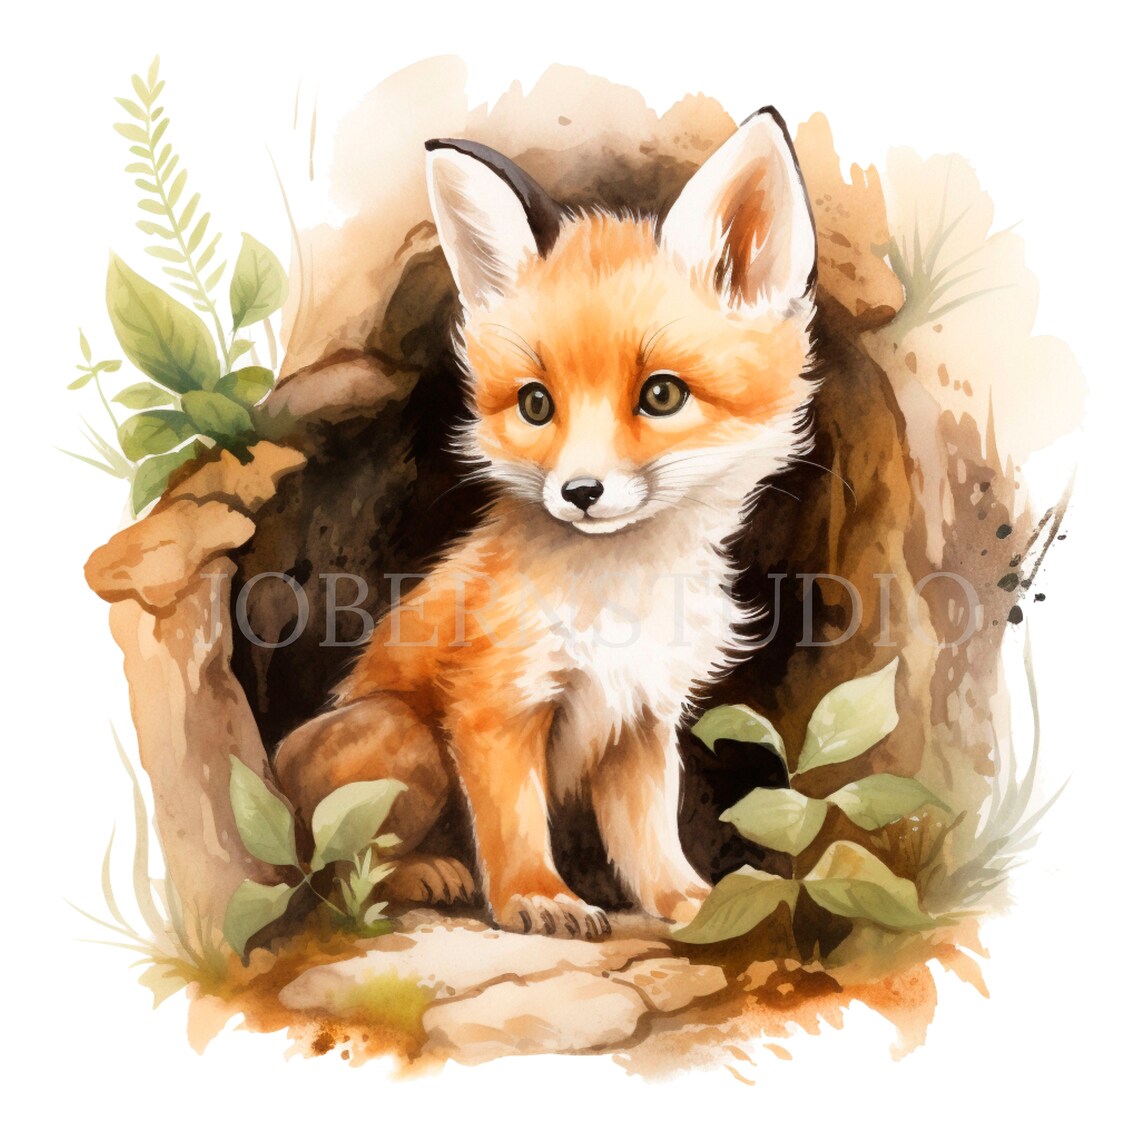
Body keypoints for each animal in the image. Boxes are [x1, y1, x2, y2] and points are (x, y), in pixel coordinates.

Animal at [273, 106, 818, 940]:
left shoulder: (640, 720)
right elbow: (513, 824)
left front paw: (695, 903)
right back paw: (424, 873)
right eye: (536, 404)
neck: (616, 597)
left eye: (662, 395)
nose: (580, 491)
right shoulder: (496, 703)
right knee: (337, 867)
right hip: (402, 736)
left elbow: (648, 840)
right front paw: (538, 896)